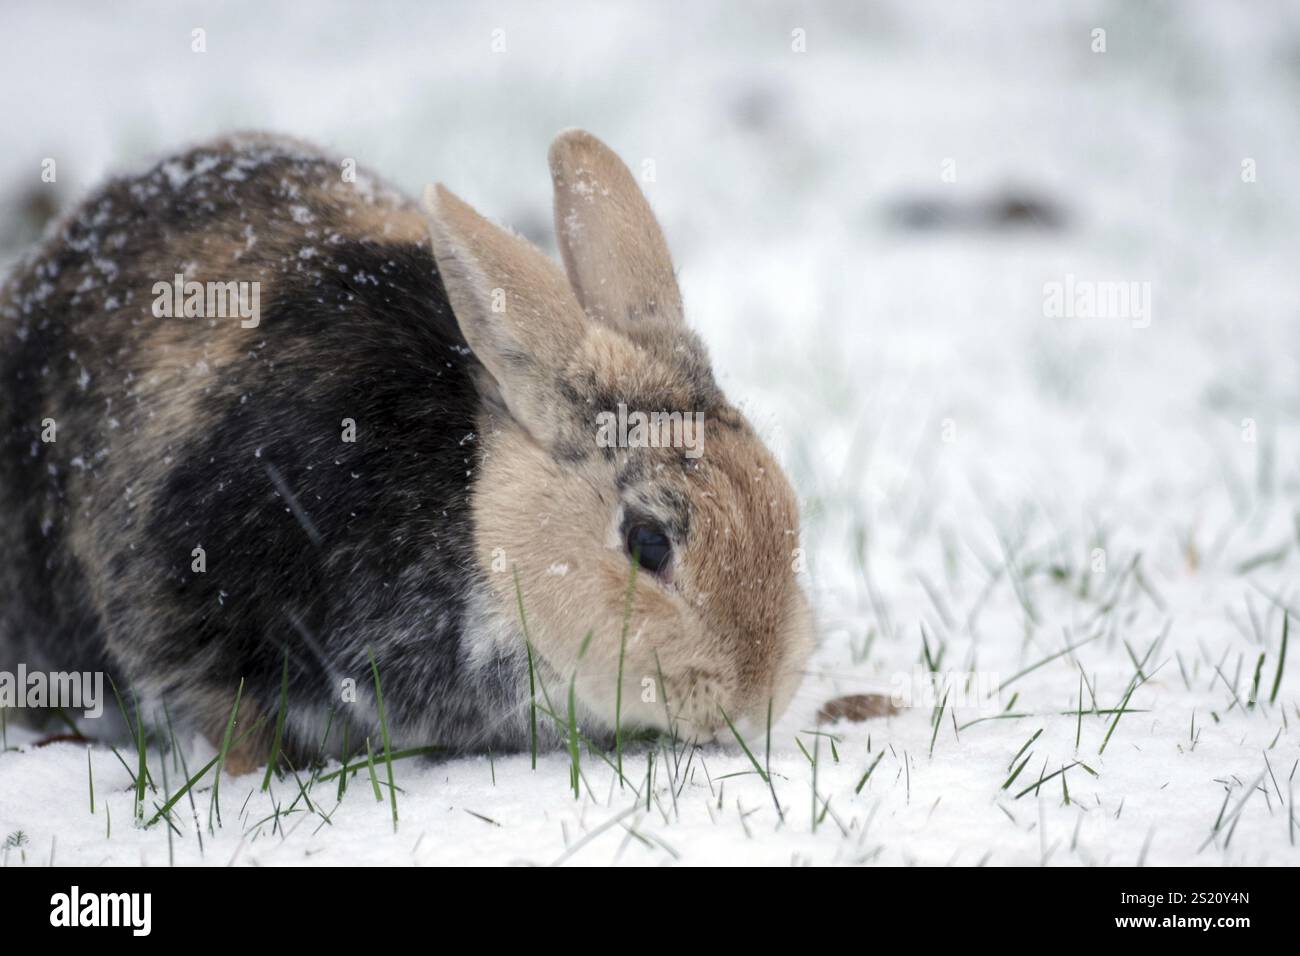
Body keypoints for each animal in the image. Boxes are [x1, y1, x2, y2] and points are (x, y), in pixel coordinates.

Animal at [0, 129, 815, 772]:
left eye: (786, 507)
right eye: (648, 542)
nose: (756, 698)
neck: (476, 522)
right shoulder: (187, 605)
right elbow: (220, 711)